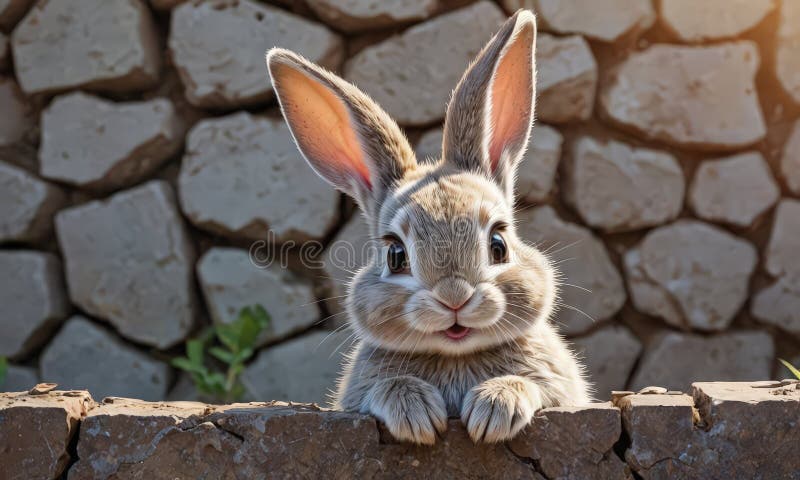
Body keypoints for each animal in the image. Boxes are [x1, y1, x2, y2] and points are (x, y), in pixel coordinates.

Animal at [266, 9, 590, 445]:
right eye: (395, 255)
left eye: (499, 244)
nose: (454, 298)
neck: (455, 353)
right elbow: (386, 388)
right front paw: (415, 413)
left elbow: (535, 385)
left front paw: (495, 408)